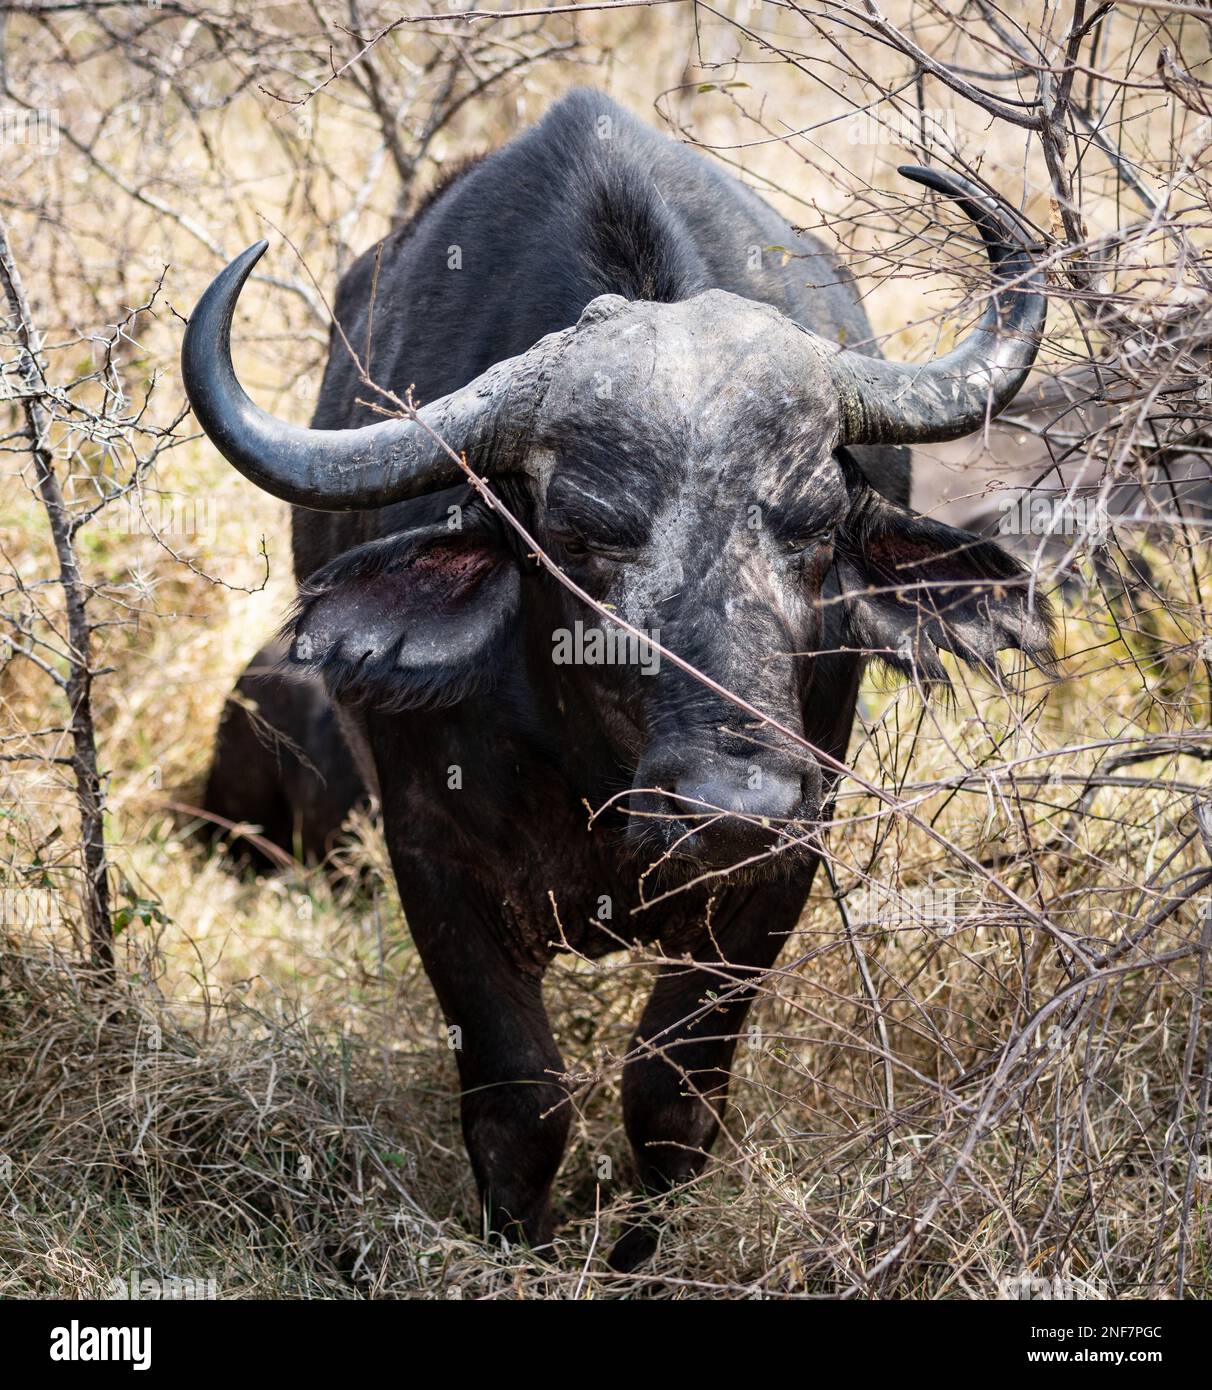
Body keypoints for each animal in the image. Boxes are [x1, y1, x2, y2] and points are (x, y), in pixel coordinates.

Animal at [187, 89, 1051, 1269]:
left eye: (816, 521)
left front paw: (644, 1256)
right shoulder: (431, 855)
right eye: (577, 535)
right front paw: (517, 1247)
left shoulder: (783, 860)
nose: (730, 803)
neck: (601, 774)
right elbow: (521, 1098)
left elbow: (672, 1095)